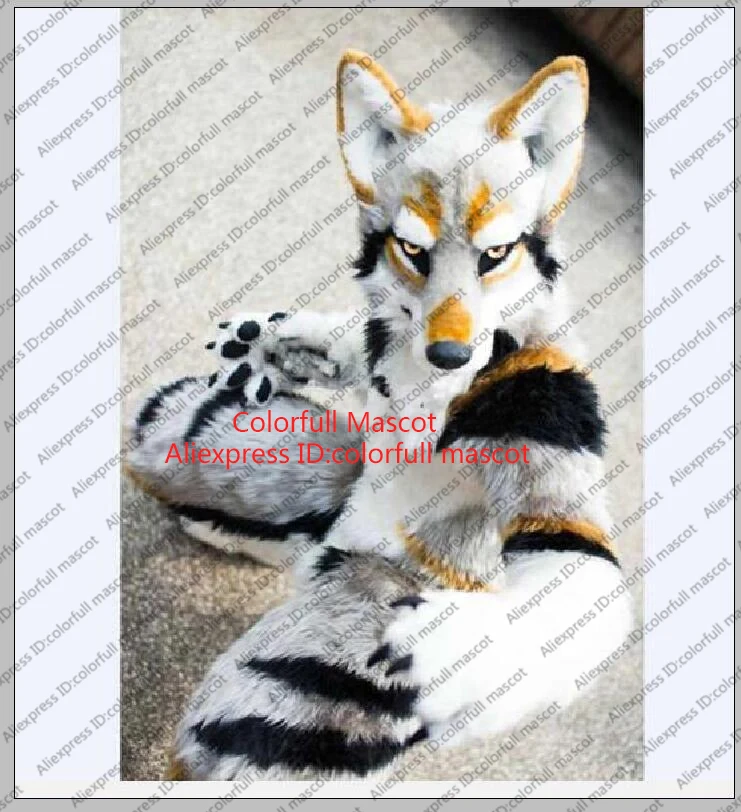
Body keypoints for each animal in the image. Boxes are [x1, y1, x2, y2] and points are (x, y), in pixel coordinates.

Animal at [126, 50, 632, 780]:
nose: (450, 353)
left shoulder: (543, 404)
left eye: (496, 254)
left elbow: (580, 557)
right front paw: (267, 341)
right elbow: (347, 350)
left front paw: (448, 646)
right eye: (413, 251)